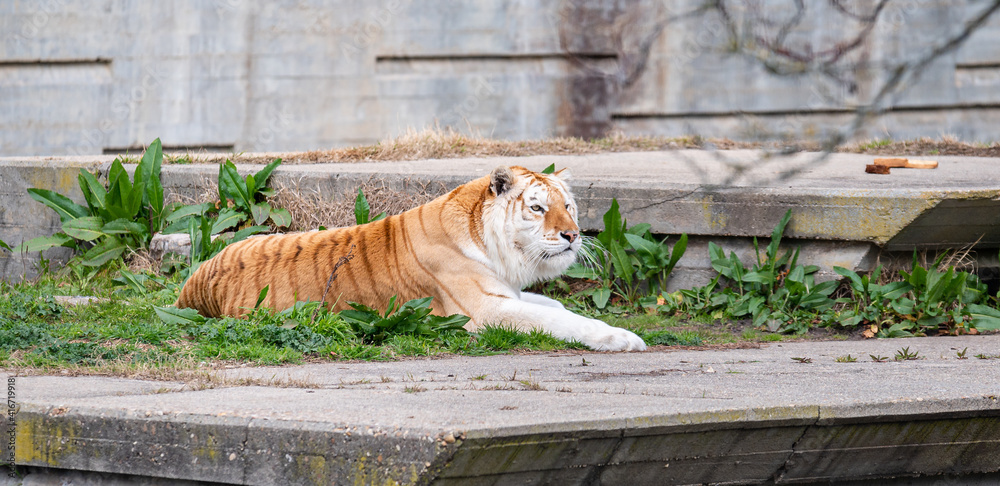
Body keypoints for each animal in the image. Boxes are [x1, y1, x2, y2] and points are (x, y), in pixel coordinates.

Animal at [176, 165, 647, 352]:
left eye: (569, 206)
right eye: (537, 208)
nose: (573, 234)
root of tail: (193, 285)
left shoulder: (504, 292)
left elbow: (556, 306)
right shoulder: (483, 309)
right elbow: (559, 319)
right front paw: (624, 338)